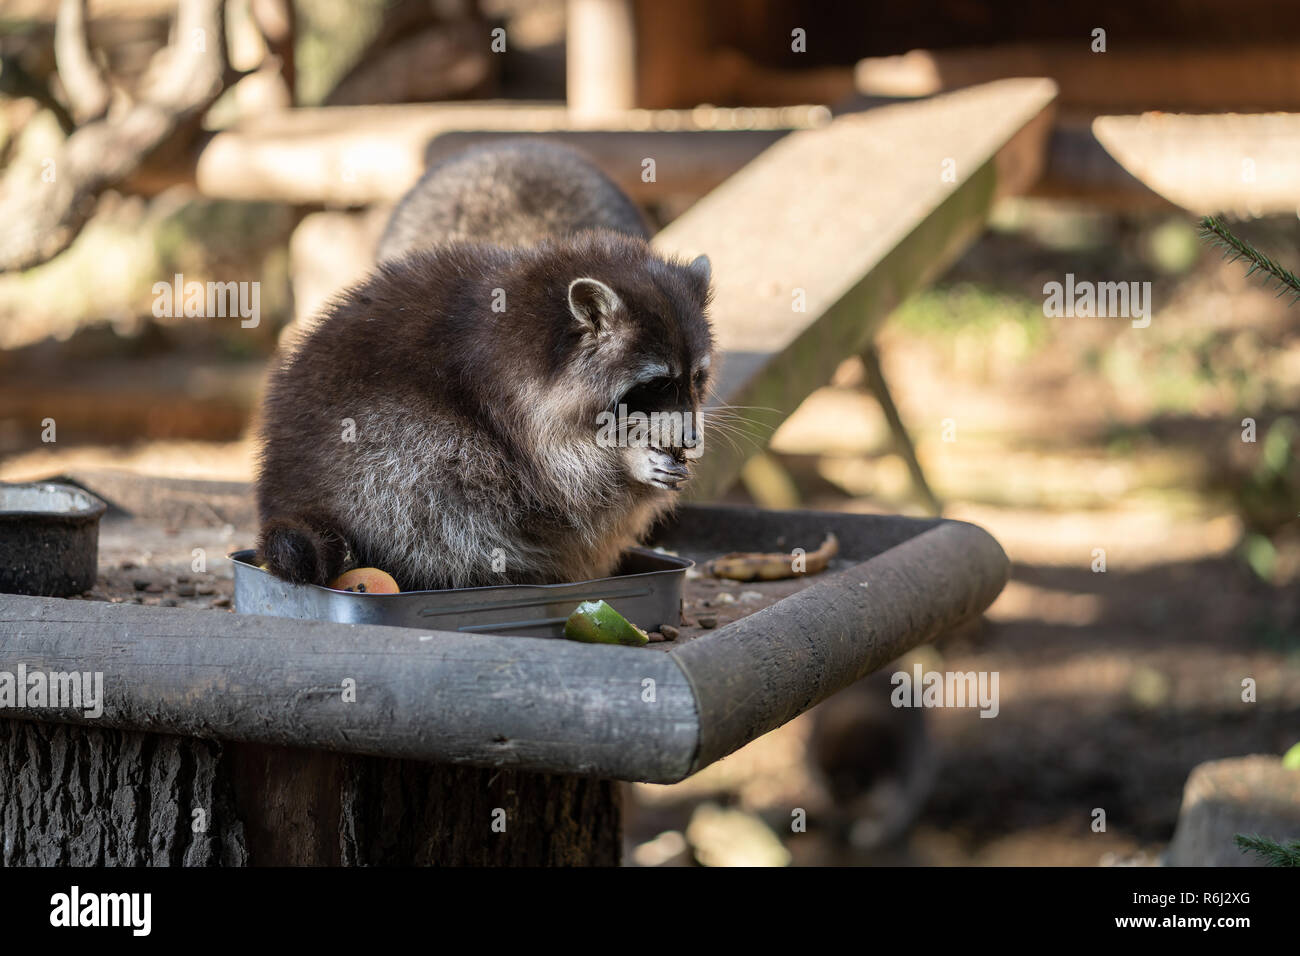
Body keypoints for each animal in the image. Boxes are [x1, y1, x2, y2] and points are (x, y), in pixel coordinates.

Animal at [256, 141, 714, 591]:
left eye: (696, 379)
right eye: (657, 384)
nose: (693, 439)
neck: (548, 331)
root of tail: (283, 492)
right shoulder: (506, 385)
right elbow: (557, 472)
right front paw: (625, 457)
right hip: (372, 455)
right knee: (442, 474)